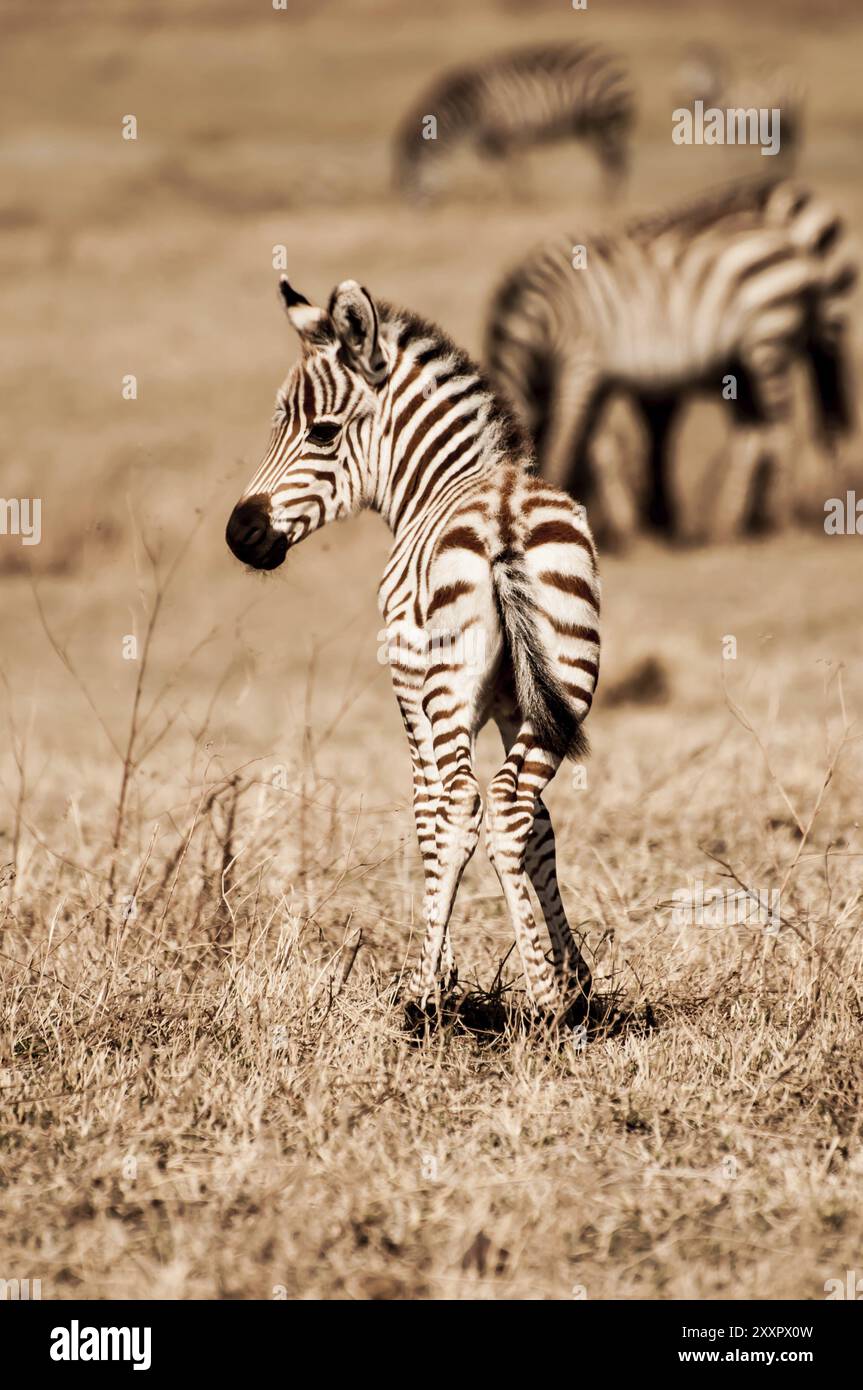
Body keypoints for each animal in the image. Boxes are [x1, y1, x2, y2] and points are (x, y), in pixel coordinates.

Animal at [225, 275, 600, 1023]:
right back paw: (550, 1000)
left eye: (321, 430)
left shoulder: (406, 687)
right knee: (512, 808)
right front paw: (573, 972)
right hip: (569, 674)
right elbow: (542, 828)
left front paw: (440, 972)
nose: (238, 533)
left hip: (445, 685)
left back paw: (438, 997)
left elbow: (428, 813)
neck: (448, 480)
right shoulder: (519, 702)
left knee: (460, 805)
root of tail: (503, 517)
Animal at [393, 43, 634, 200]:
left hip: (605, 120)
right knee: (611, 161)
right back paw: (605, 198)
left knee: (618, 161)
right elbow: (503, 168)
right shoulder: (488, 141)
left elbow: (515, 169)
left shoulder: (504, 133)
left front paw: (522, 198)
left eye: (408, 180)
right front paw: (503, 196)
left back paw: (609, 202)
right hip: (589, 127)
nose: (415, 221)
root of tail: (612, 61)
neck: (471, 108)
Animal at [485, 177, 857, 544]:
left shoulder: (581, 362)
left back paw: (781, 517)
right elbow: (601, 446)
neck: (535, 316)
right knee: (757, 432)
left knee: (784, 428)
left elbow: (571, 439)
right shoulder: (597, 379)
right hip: (747, 361)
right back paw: (733, 520)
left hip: (772, 341)